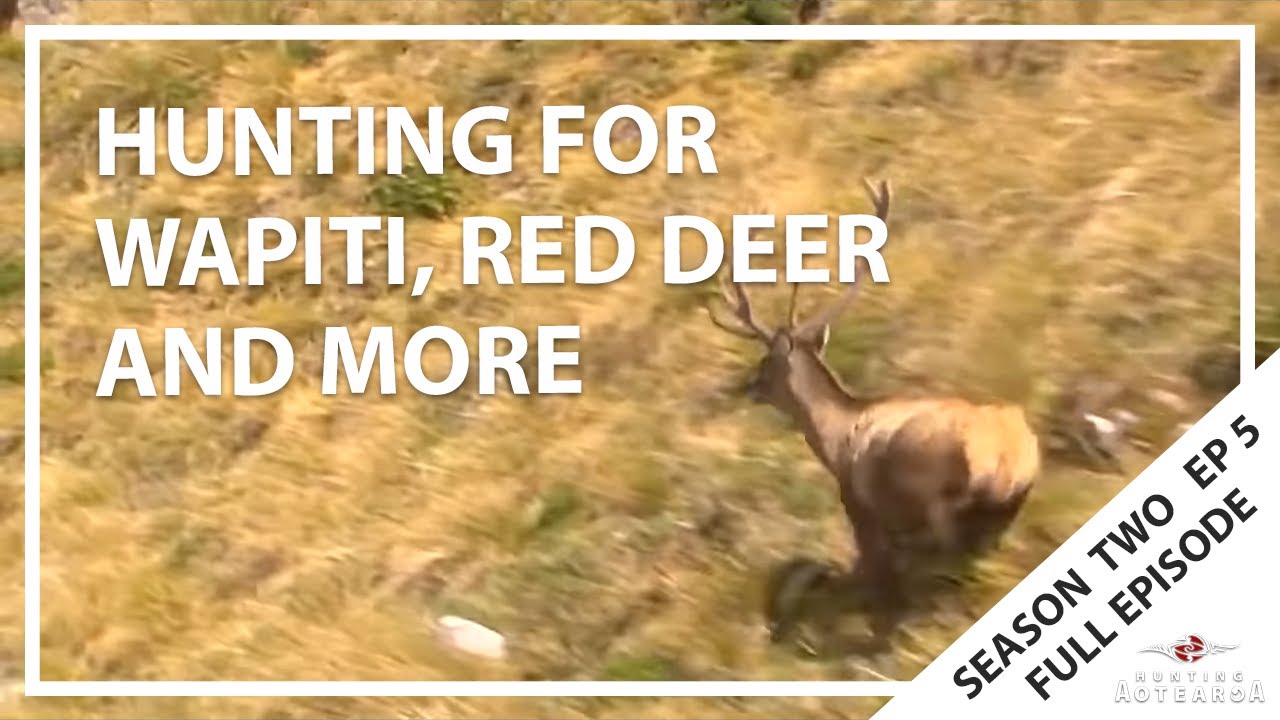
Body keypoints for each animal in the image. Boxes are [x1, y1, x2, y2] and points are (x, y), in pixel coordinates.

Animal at [708, 179, 1040, 649]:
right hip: (1009, 505)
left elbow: (880, 585)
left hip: (945, 504)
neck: (833, 438)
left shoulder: (861, 510)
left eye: (764, 365)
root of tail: (1008, 459)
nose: (748, 388)